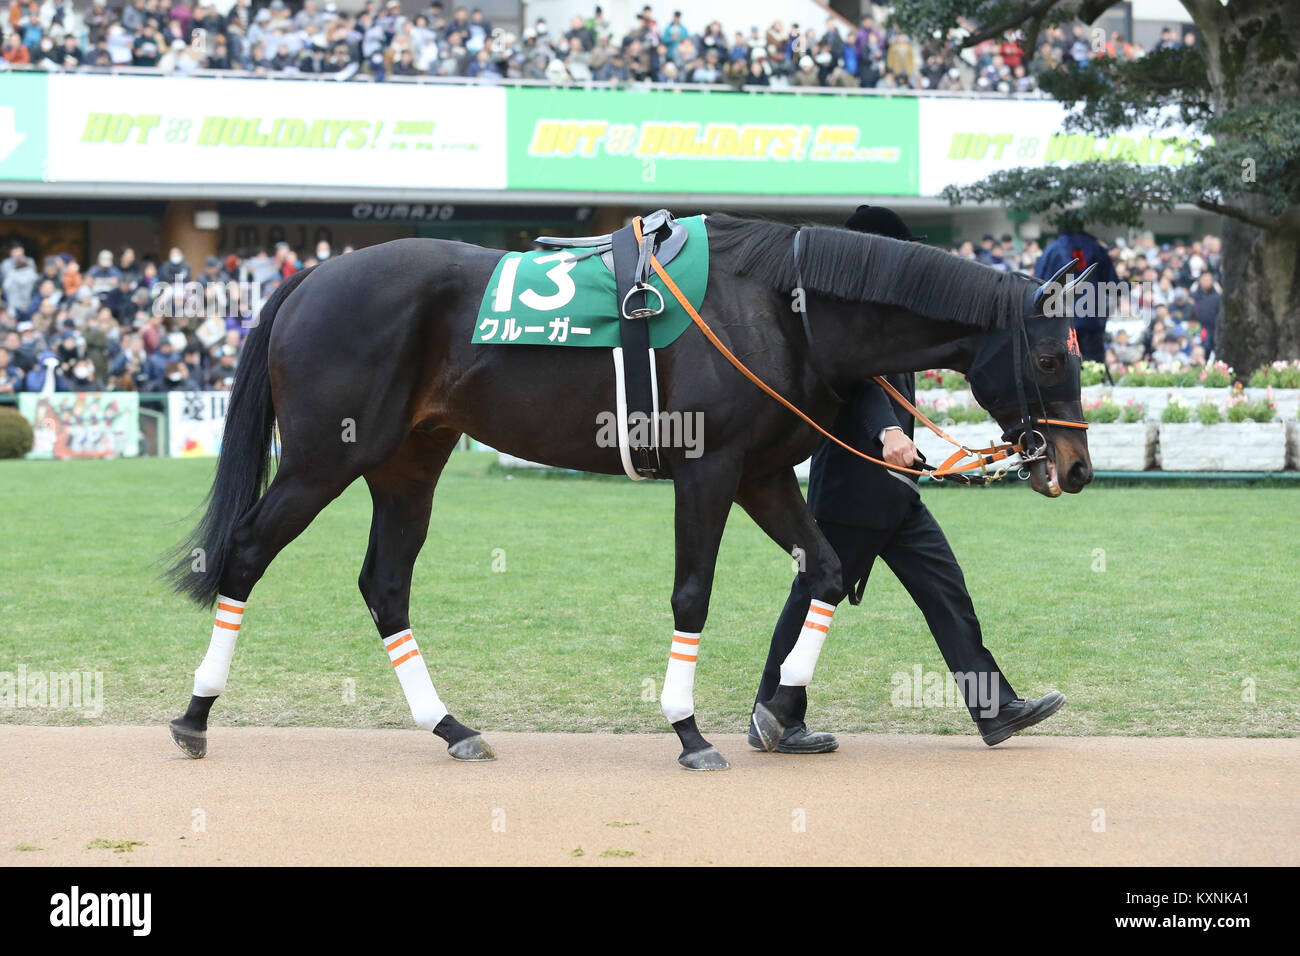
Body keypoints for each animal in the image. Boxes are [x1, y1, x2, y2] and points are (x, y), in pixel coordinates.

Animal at [165, 213, 1094, 771]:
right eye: (1053, 357)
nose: (1075, 468)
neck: (778, 309)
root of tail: (311, 278)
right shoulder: (709, 471)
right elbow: (693, 594)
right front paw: (689, 729)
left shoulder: (761, 475)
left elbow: (828, 572)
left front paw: (782, 708)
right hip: (323, 458)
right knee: (245, 553)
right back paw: (195, 717)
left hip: (407, 464)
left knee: (385, 586)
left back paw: (451, 727)